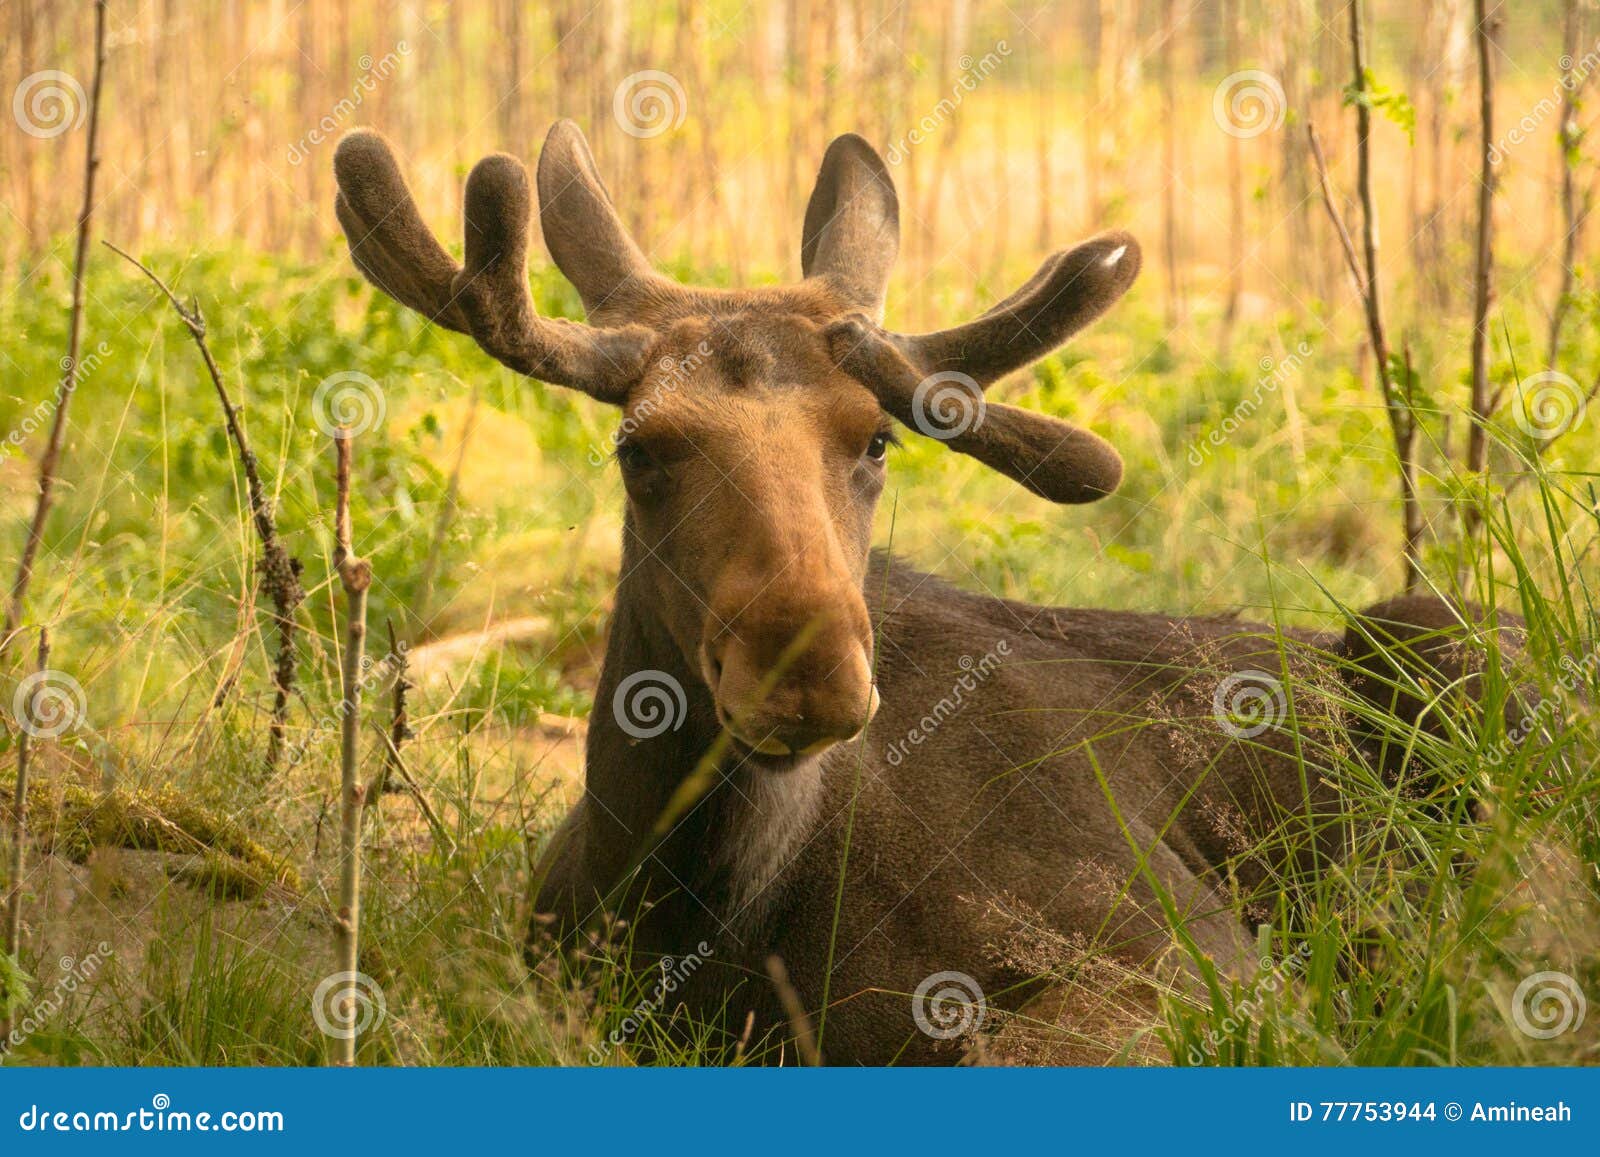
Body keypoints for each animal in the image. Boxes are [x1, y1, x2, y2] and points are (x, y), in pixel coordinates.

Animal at [332, 121, 1517, 1065]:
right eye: (639, 447)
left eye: (875, 440)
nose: (805, 668)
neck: (705, 905)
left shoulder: (1198, 963)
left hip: (1437, 629)